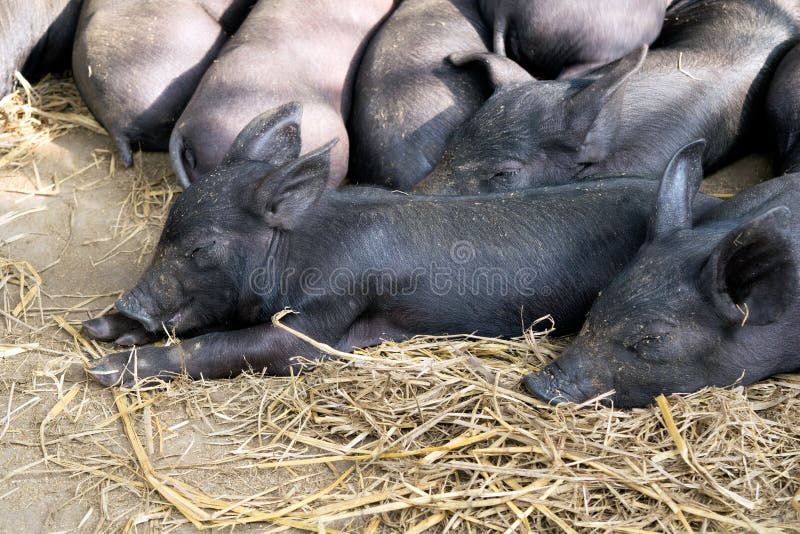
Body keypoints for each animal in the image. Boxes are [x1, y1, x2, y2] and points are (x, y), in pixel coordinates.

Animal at [82, 103, 719, 387]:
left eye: (201, 249)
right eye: (166, 231)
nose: (127, 304)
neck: (299, 253)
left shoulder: (327, 313)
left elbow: (231, 345)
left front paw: (103, 369)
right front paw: (102, 332)